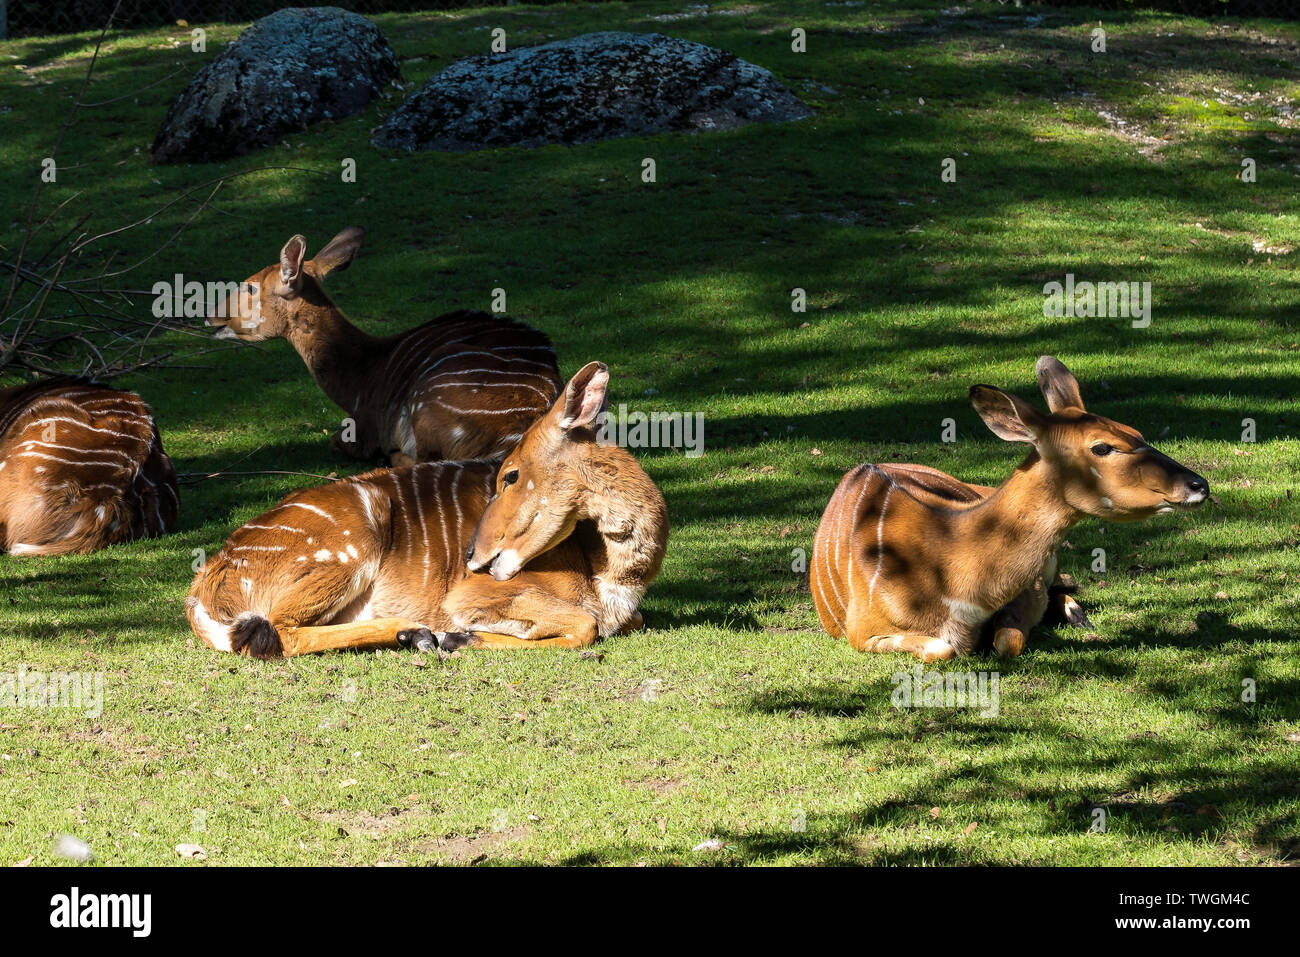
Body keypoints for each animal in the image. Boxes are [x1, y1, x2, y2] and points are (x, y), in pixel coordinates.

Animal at [186, 361, 669, 657]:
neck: (606, 573)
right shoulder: (474, 594)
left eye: (511, 475)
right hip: (352, 544)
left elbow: (623, 621)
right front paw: (461, 638)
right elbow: (585, 626)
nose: (472, 556)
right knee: (280, 630)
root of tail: (206, 579)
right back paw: (418, 632)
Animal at [206, 226, 562, 466]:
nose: (211, 316)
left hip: (427, 407)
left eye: (251, 288)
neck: (361, 375)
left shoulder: (362, 429)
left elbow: (338, 443)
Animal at [812, 356, 1209, 662]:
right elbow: (943, 649)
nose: (1199, 485)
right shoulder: (862, 633)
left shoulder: (1028, 589)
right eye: (1102, 447)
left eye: (1136, 431)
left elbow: (1006, 641)